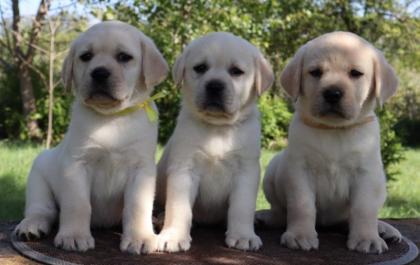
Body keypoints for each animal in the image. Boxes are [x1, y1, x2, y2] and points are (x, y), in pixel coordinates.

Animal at [14, 21, 169, 254]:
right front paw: (74, 236)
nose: (100, 73)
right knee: (42, 210)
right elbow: (77, 204)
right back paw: (31, 226)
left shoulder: (141, 169)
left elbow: (137, 206)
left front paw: (140, 237)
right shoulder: (76, 165)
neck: (111, 118)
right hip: (37, 179)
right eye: (86, 56)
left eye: (124, 57)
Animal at [156, 32, 274, 251]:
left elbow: (242, 207)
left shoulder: (246, 170)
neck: (218, 128)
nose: (215, 85)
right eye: (200, 68)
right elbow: (179, 207)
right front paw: (174, 236)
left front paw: (243, 235)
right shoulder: (184, 168)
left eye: (236, 71)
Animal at [258, 32, 402, 253]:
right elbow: (302, 205)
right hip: (274, 168)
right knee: (280, 212)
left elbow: (364, 209)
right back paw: (265, 217)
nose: (332, 93)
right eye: (315, 72)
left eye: (355, 73)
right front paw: (300, 235)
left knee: (352, 218)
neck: (334, 130)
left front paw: (367, 238)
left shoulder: (366, 173)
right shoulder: (299, 170)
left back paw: (384, 229)